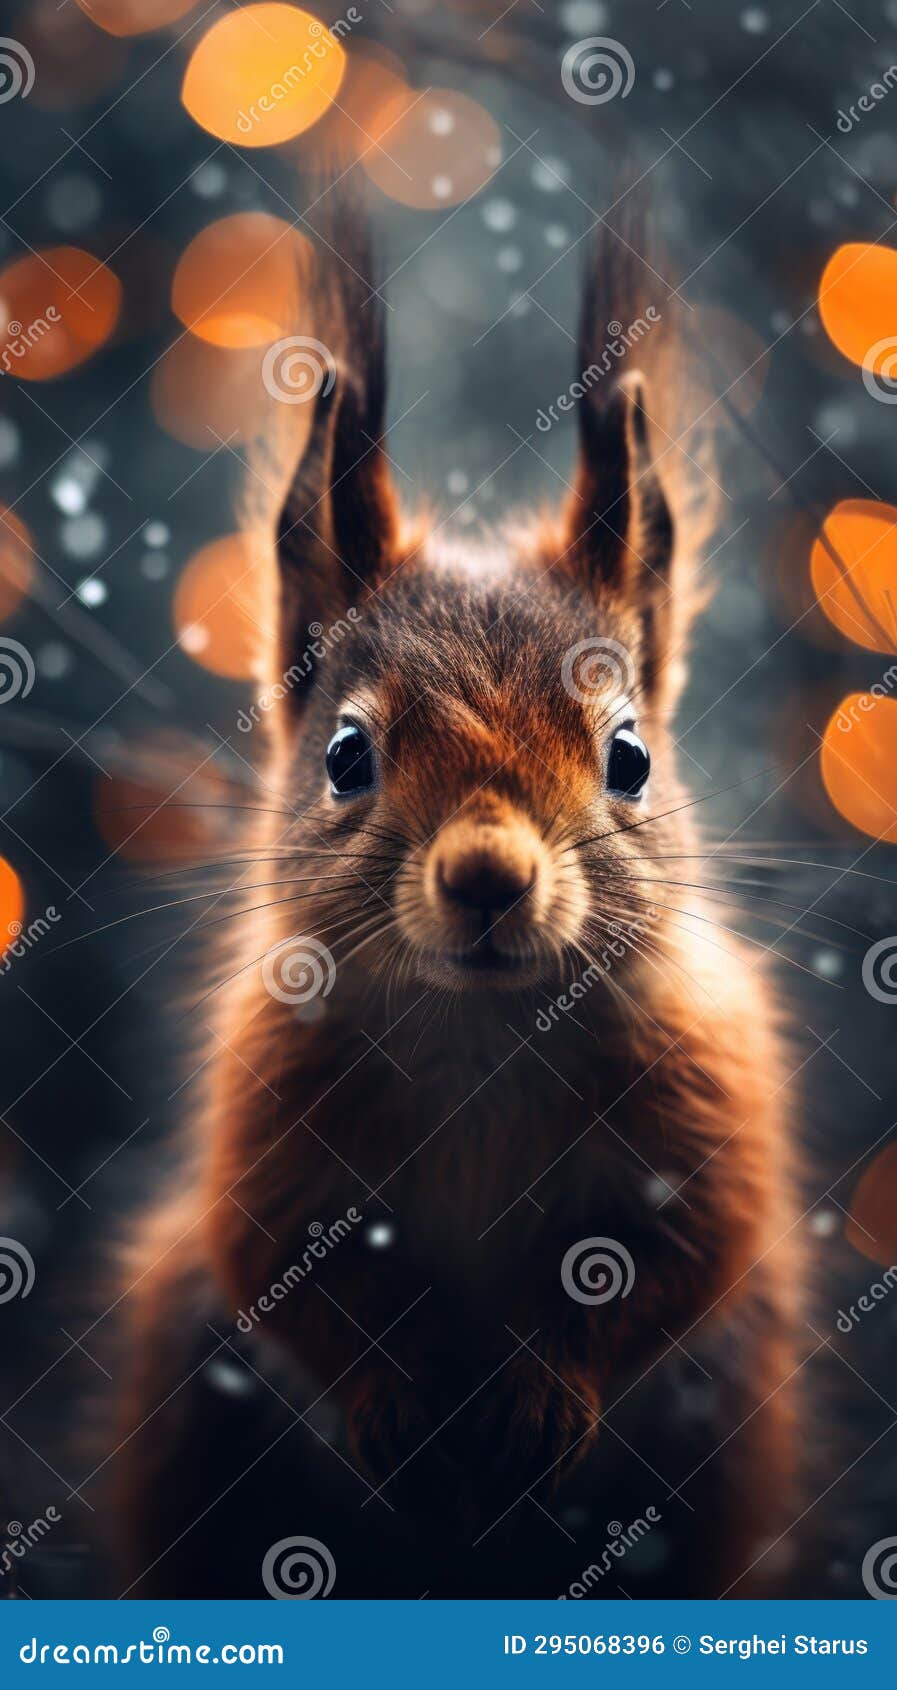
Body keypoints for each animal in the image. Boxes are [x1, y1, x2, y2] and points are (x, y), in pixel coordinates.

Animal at [103, 191, 801, 1599]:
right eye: (344, 755)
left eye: (630, 757)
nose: (488, 876)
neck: (481, 1034)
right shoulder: (268, 1116)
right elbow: (286, 1266)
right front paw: (392, 1404)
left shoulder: (709, 1096)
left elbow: (679, 1256)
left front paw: (542, 1395)